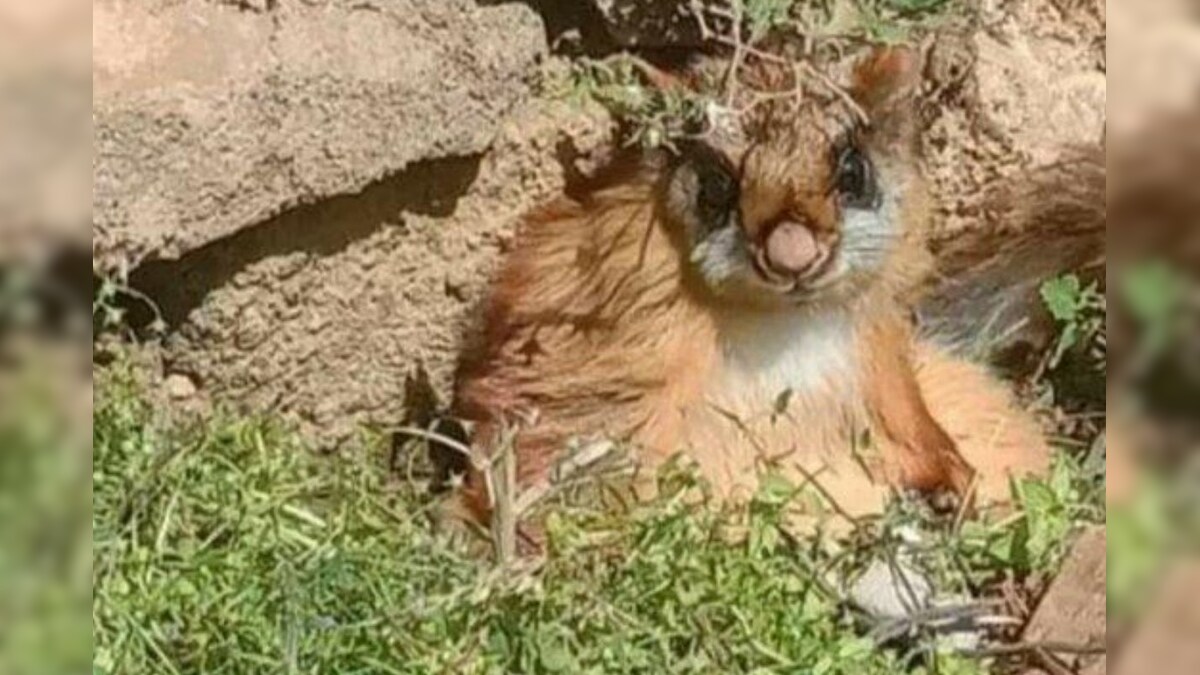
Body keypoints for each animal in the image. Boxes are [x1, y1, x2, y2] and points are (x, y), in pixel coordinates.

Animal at [443, 47, 1074, 531]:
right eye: (718, 183)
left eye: (852, 171)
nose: (792, 259)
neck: (782, 326)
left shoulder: (881, 359)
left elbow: (917, 430)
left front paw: (955, 485)